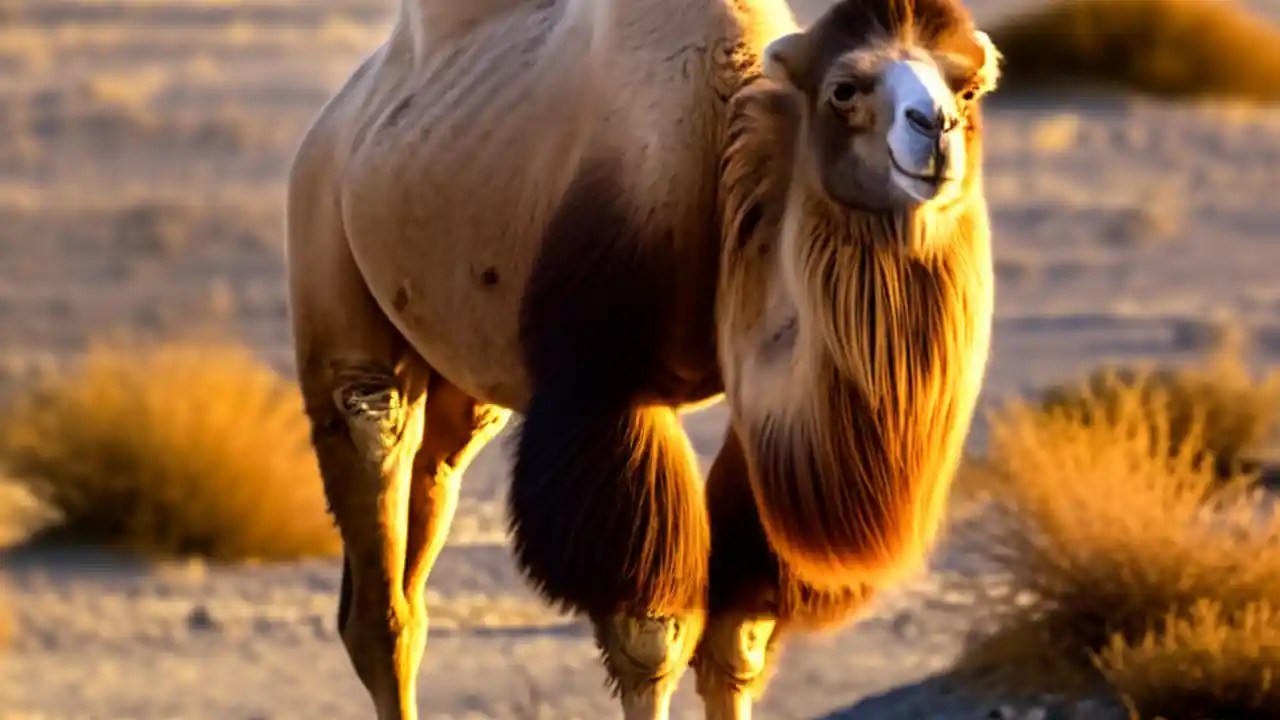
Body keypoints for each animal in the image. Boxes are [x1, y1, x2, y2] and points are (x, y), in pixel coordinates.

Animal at [286, 0, 1001, 718]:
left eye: (968, 88)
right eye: (844, 90)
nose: (935, 129)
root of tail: (337, 121)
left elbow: (738, 636)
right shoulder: (606, 378)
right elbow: (650, 637)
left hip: (465, 389)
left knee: (435, 480)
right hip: (332, 274)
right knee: (379, 537)